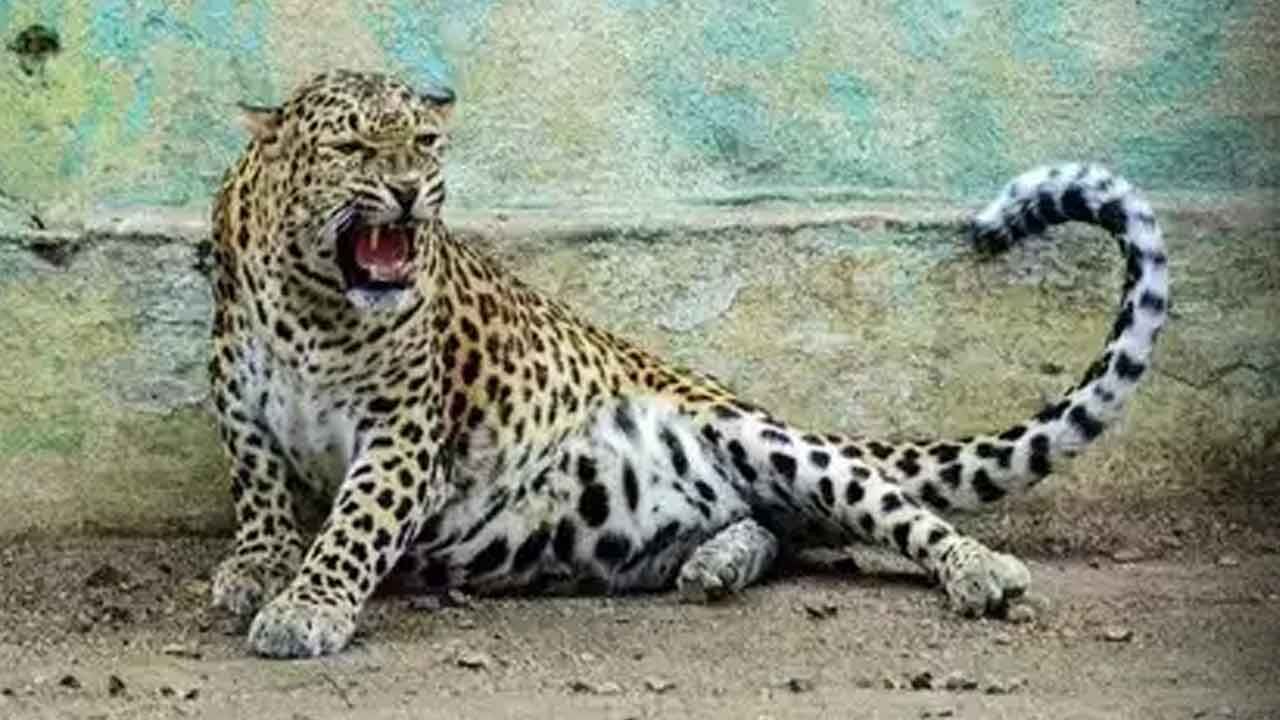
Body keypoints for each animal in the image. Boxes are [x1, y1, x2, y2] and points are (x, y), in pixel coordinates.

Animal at [207, 70, 1169, 658]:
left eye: (424, 144)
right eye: (351, 151)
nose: (409, 192)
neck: (314, 305)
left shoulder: (404, 430)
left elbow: (357, 523)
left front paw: (305, 607)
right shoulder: (239, 398)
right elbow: (258, 486)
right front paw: (259, 565)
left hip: (767, 442)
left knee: (889, 509)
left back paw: (981, 571)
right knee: (773, 528)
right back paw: (715, 565)